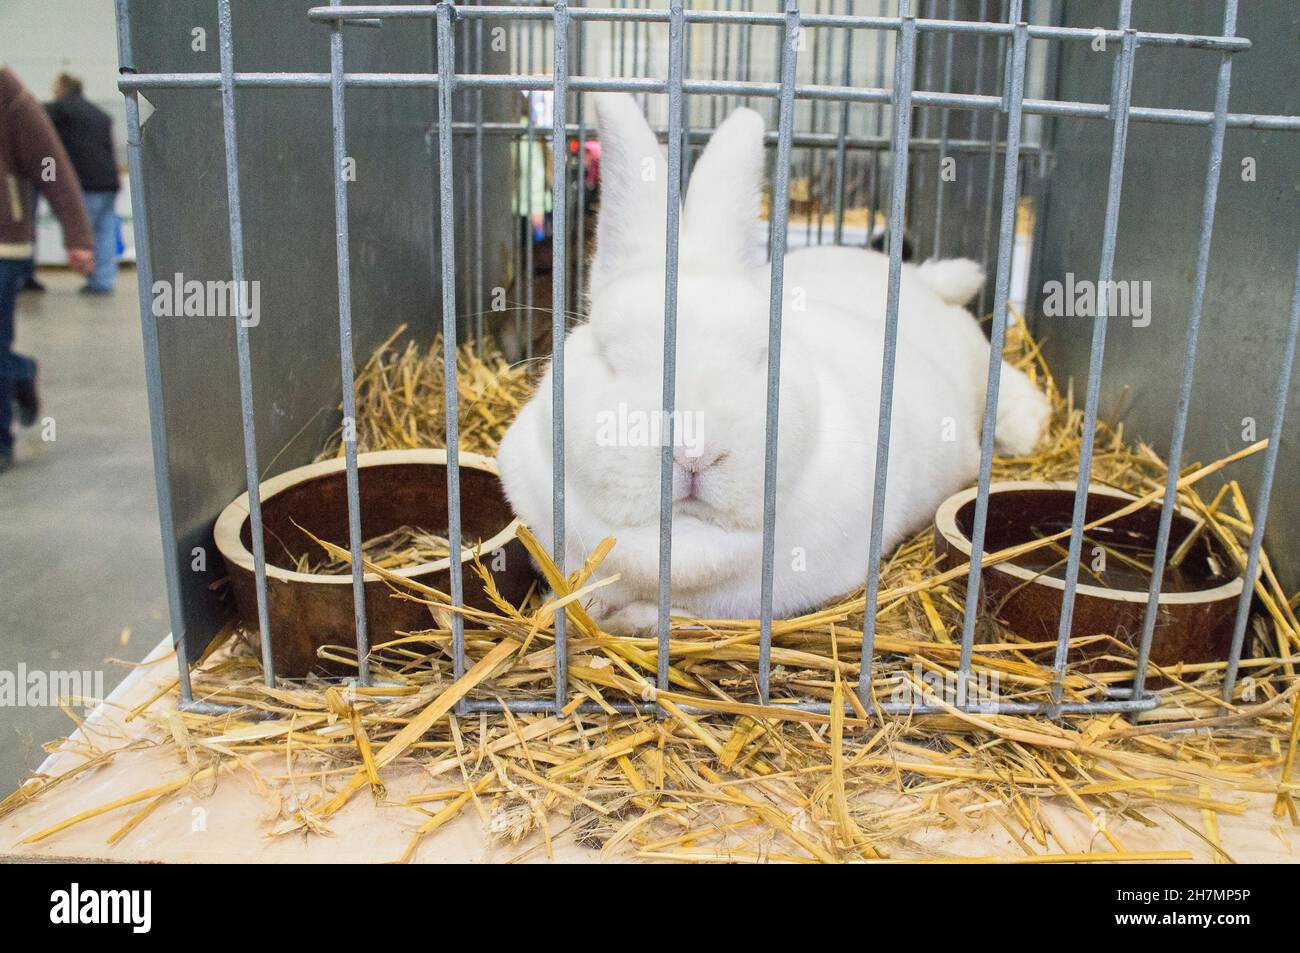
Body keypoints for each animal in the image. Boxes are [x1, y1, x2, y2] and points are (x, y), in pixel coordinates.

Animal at [495, 93, 1051, 635]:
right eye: (610, 357)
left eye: (763, 353)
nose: (694, 453)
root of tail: (920, 279)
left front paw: (635, 619)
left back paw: (1021, 429)